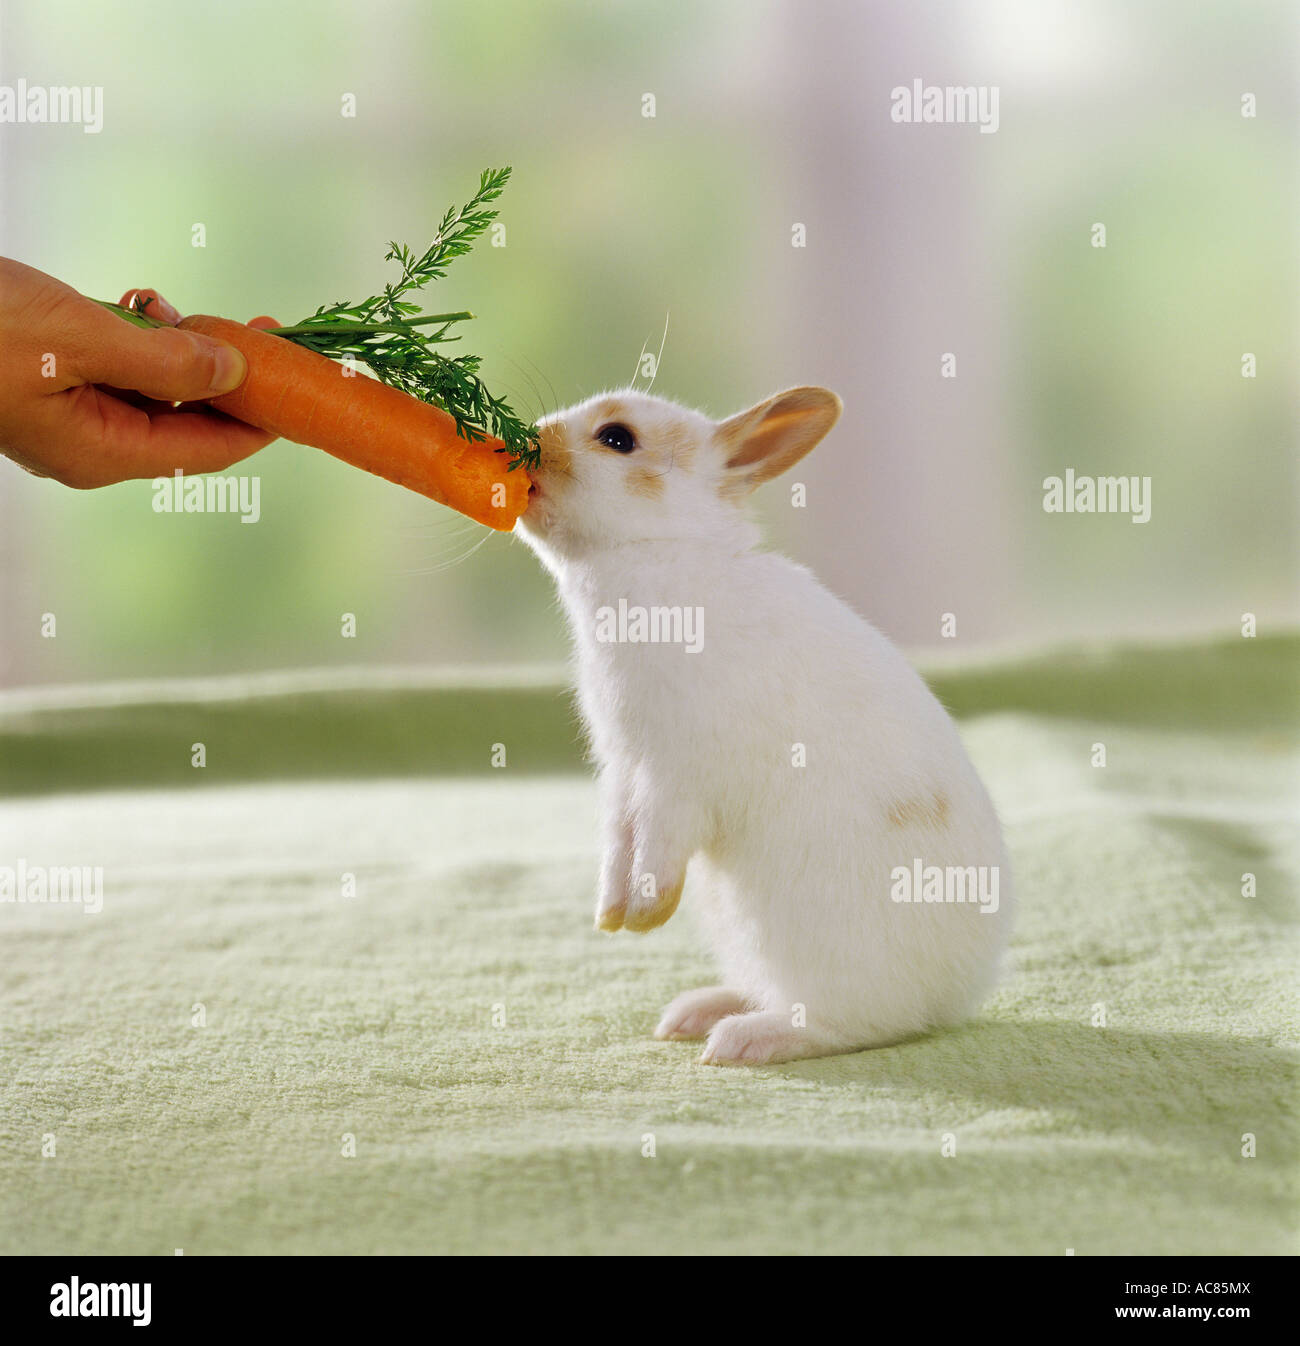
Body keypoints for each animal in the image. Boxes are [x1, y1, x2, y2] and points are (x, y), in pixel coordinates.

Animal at [516, 385, 1013, 1065]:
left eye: (617, 438)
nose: (531, 442)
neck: (659, 552)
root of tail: (959, 993)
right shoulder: (624, 770)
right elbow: (619, 841)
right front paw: (611, 914)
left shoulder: (677, 778)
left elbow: (659, 844)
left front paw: (645, 913)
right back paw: (696, 1012)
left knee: (857, 1025)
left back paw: (743, 1039)